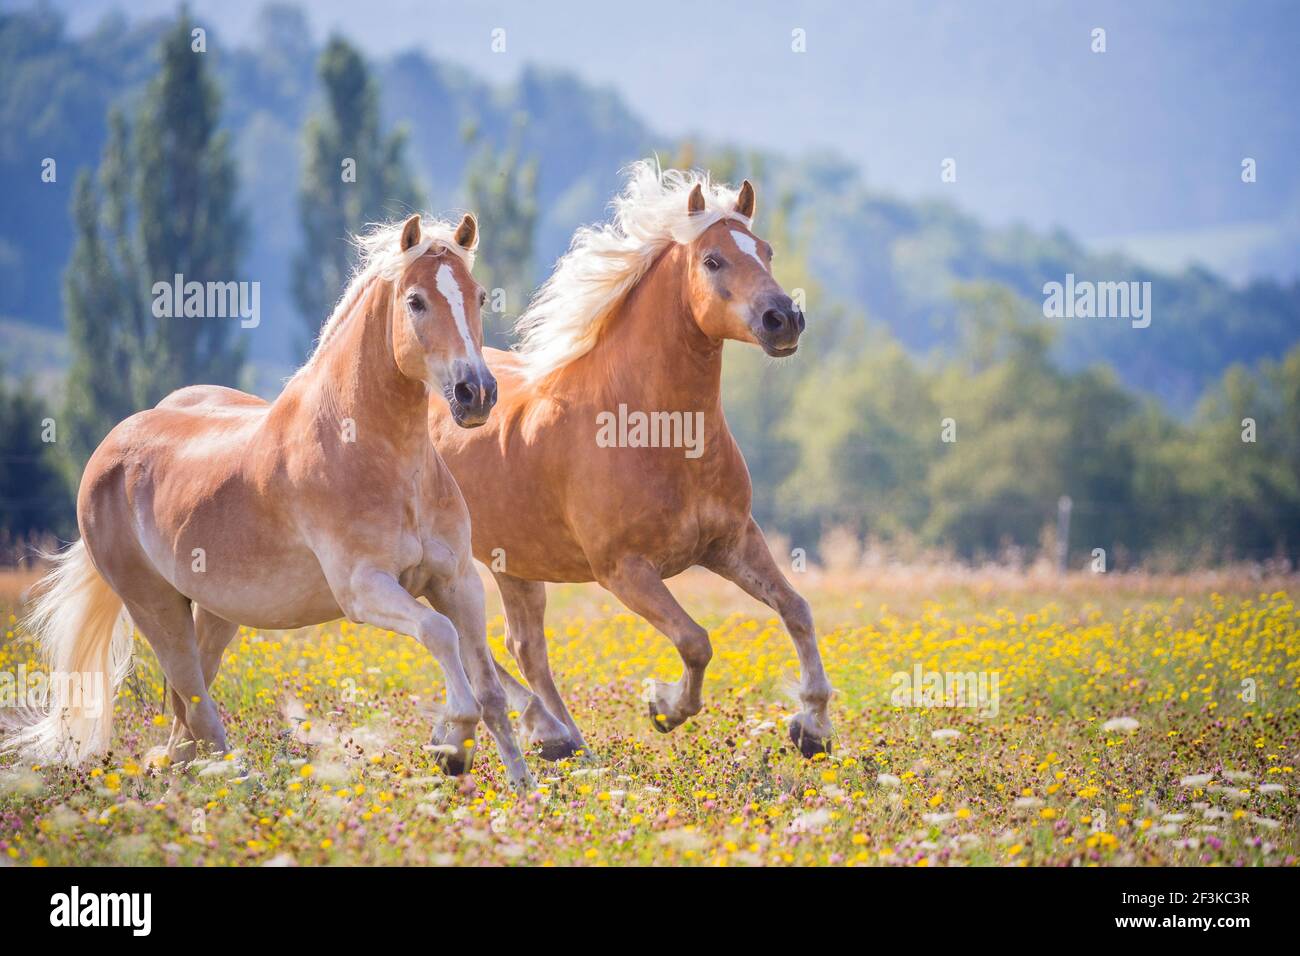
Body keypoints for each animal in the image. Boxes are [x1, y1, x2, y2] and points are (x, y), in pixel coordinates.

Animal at [3, 213, 535, 792]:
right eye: (415, 301)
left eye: (478, 296)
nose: (475, 393)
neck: (374, 453)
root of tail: (107, 454)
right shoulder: (364, 588)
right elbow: (440, 636)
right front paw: (452, 742)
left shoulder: (456, 581)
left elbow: (490, 689)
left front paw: (525, 789)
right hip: (154, 607)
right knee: (198, 708)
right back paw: (241, 788)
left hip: (213, 615)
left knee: (182, 722)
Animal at [429, 163, 834, 761]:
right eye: (713, 260)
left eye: (766, 250)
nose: (783, 319)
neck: (655, 433)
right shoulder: (624, 570)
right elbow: (695, 640)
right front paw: (663, 707)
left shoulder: (732, 542)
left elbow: (796, 609)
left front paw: (811, 727)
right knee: (465, 638)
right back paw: (543, 732)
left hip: (514, 563)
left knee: (522, 645)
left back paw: (564, 739)